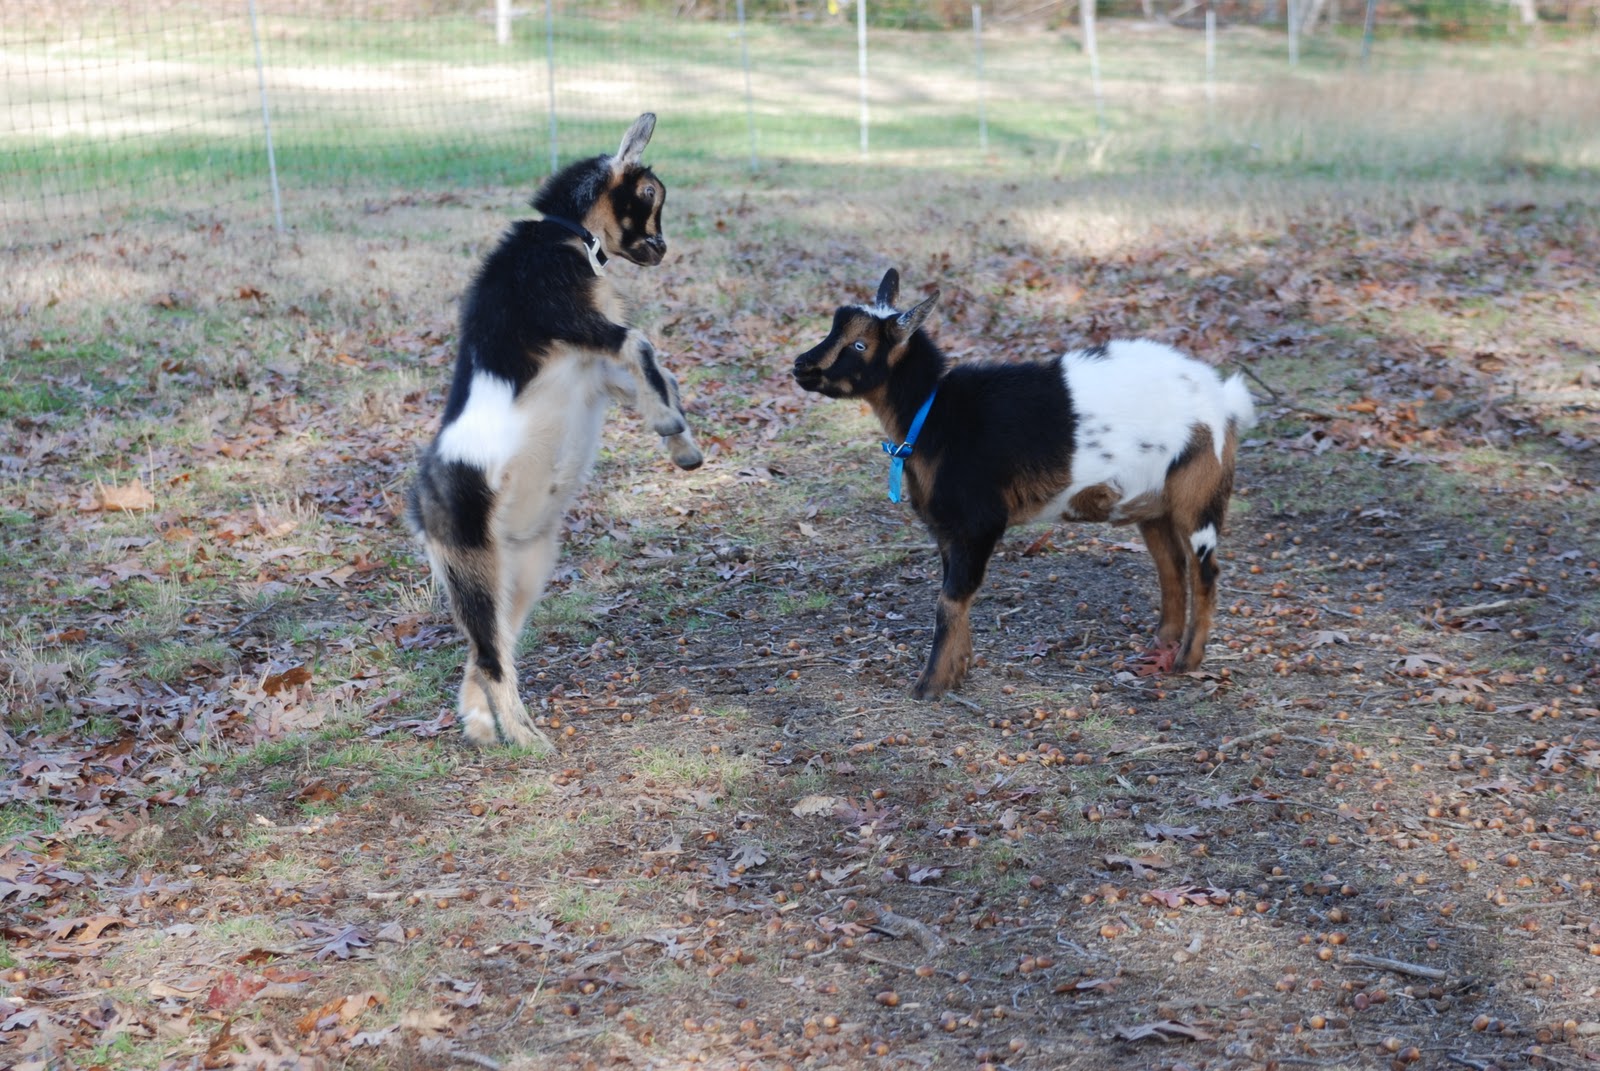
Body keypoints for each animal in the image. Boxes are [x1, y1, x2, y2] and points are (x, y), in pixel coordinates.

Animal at [408, 113, 701, 751]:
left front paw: (682, 444)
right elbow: (642, 344)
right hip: (474, 566)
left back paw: (481, 726)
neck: (566, 236)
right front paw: (672, 426)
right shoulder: (570, 317)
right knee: (492, 657)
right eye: (649, 193)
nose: (662, 248)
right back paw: (527, 740)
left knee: (488, 651)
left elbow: (653, 372)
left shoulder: (593, 369)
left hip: (522, 572)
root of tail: (420, 506)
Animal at [791, 268, 1255, 700]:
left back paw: (1187, 660)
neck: (935, 413)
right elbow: (955, 594)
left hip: (1199, 495)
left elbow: (950, 599)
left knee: (1204, 570)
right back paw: (1162, 643)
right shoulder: (948, 529)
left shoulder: (979, 522)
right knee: (1171, 565)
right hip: (1152, 503)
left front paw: (930, 685)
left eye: (859, 345)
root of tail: (1223, 399)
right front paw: (959, 670)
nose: (801, 365)